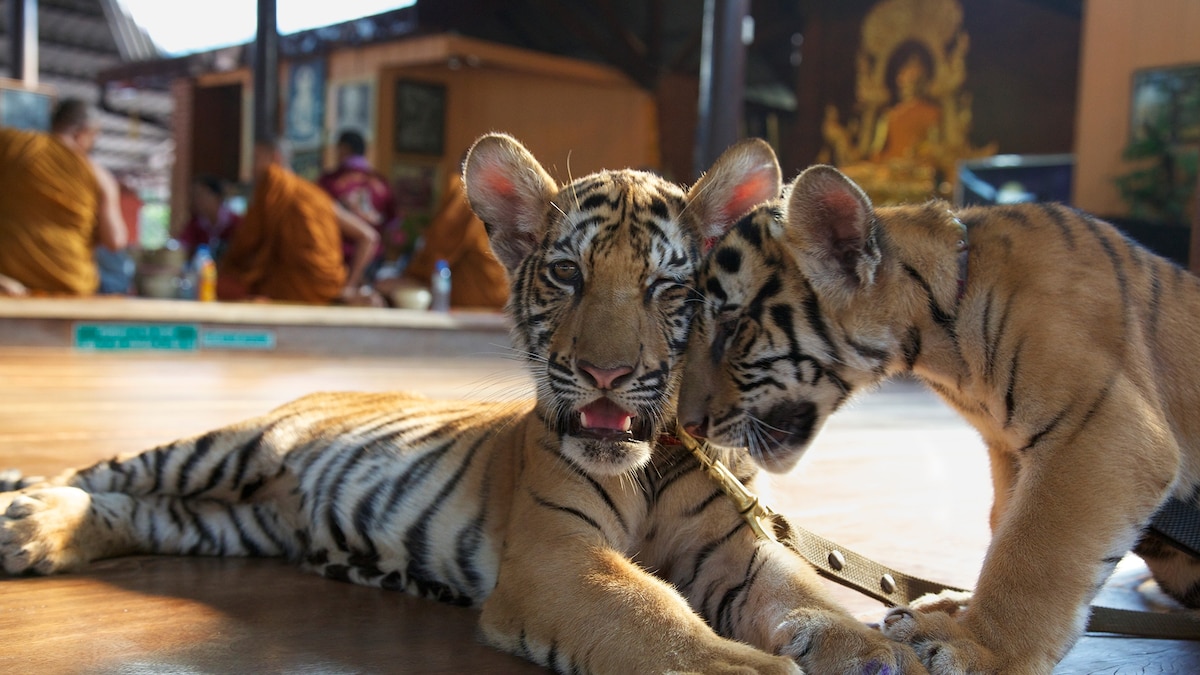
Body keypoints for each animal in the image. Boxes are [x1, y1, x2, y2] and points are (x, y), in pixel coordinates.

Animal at [0, 136, 922, 674]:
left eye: (669, 287)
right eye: (566, 274)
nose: (606, 373)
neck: (653, 461)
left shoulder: (741, 552)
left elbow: (808, 596)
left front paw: (882, 649)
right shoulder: (559, 556)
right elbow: (649, 611)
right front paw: (746, 669)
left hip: (236, 522)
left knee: (141, 510)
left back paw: (44, 531)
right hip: (234, 444)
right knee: (100, 471)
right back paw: (28, 516)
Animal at [677, 162, 1200, 674]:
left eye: (732, 327)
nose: (687, 423)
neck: (943, 339)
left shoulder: (1101, 426)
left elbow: (1033, 553)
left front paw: (979, 647)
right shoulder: (1012, 451)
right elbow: (1006, 528)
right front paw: (957, 609)